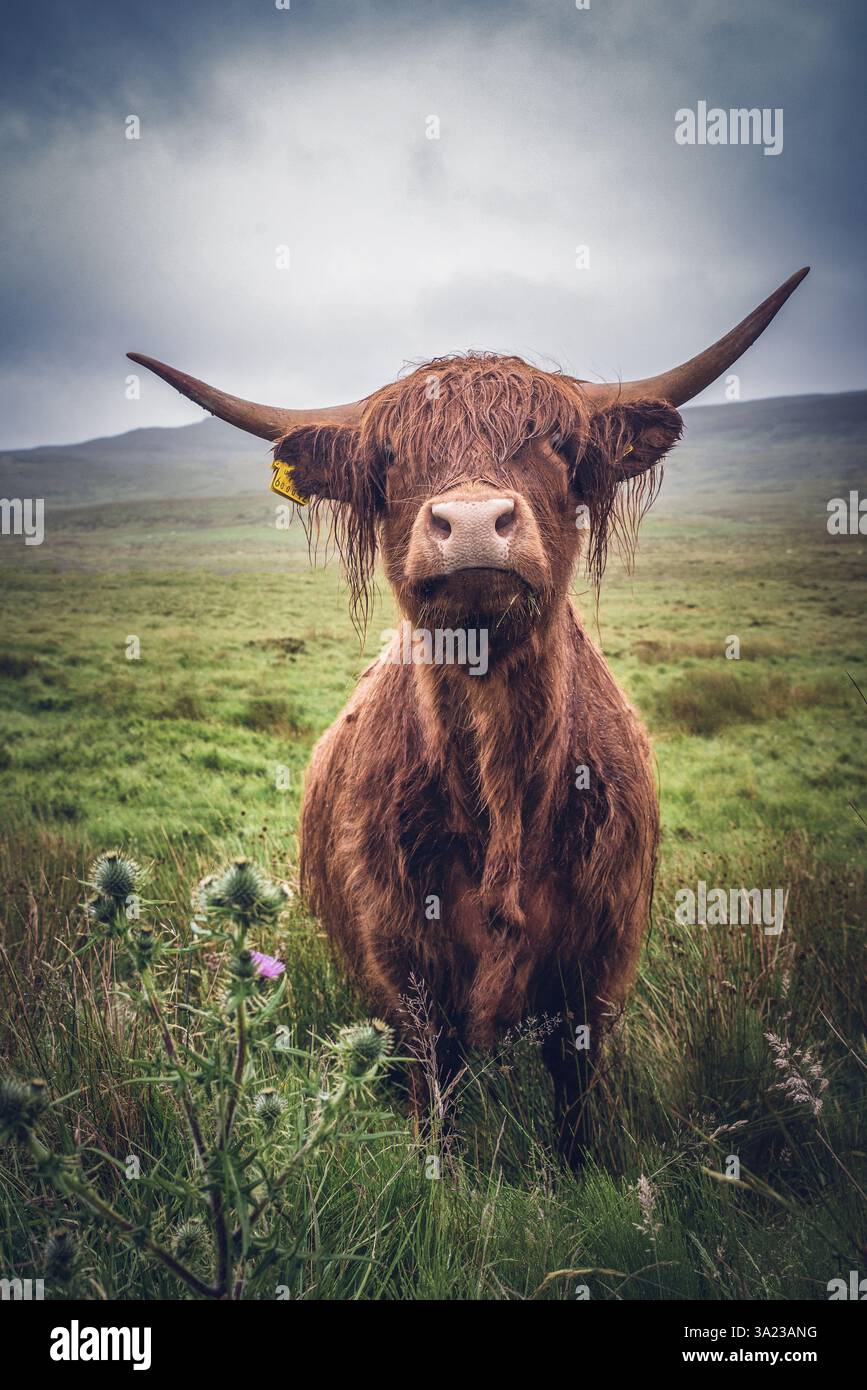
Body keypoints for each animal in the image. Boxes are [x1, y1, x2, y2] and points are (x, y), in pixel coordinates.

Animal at [130, 266, 808, 1162]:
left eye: (556, 448)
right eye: (389, 460)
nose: (476, 523)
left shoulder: (598, 965)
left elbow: (576, 1099)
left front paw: (578, 1172)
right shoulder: (403, 965)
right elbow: (432, 1096)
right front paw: (433, 1174)